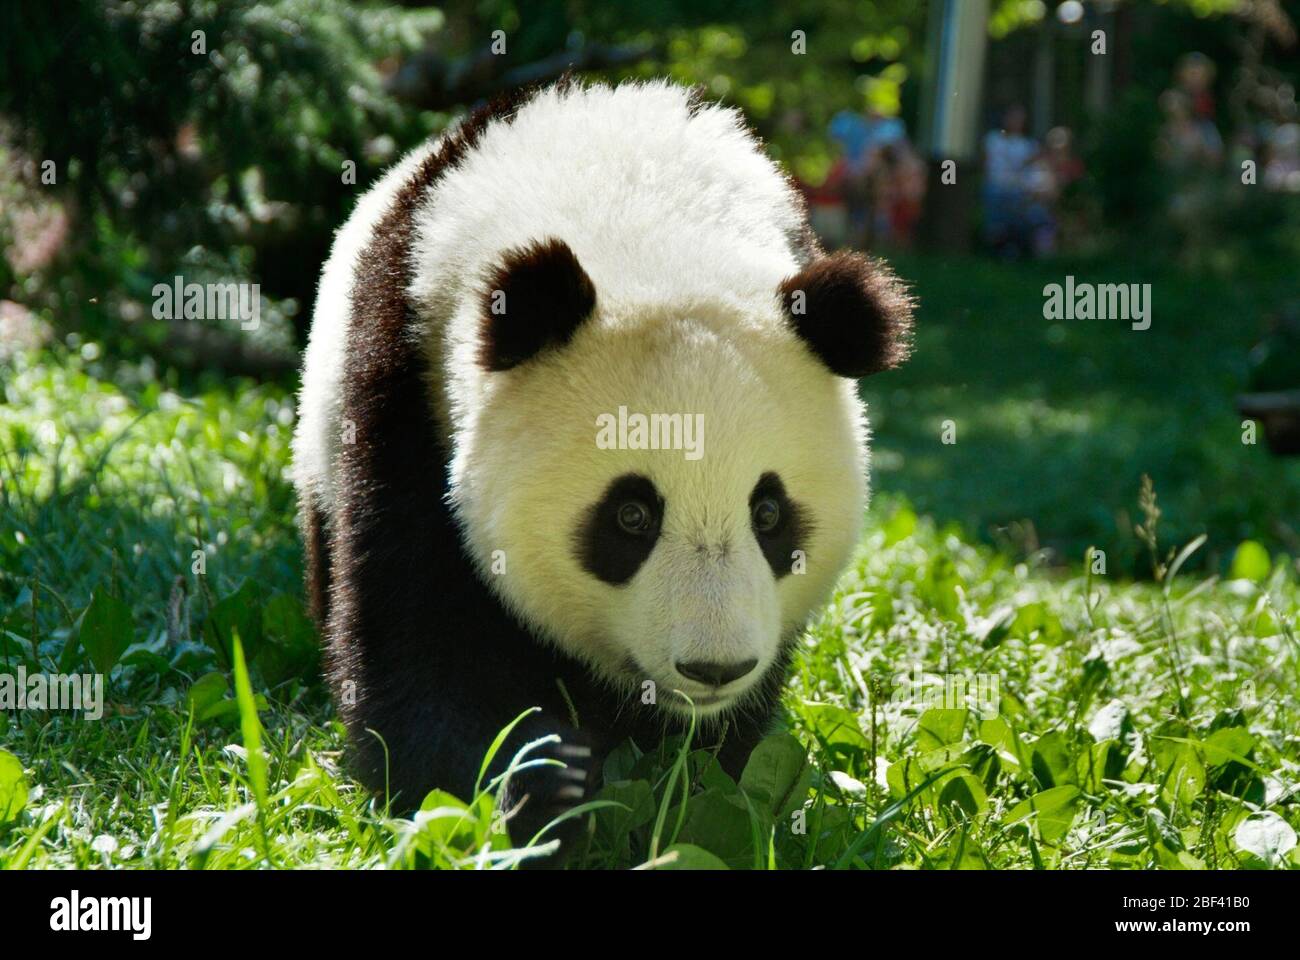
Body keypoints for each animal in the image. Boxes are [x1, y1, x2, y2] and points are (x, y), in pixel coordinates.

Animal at [291, 78, 913, 848]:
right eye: (630, 515)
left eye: (770, 513)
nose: (714, 667)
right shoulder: (405, 383)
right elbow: (421, 639)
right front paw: (529, 792)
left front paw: (697, 786)